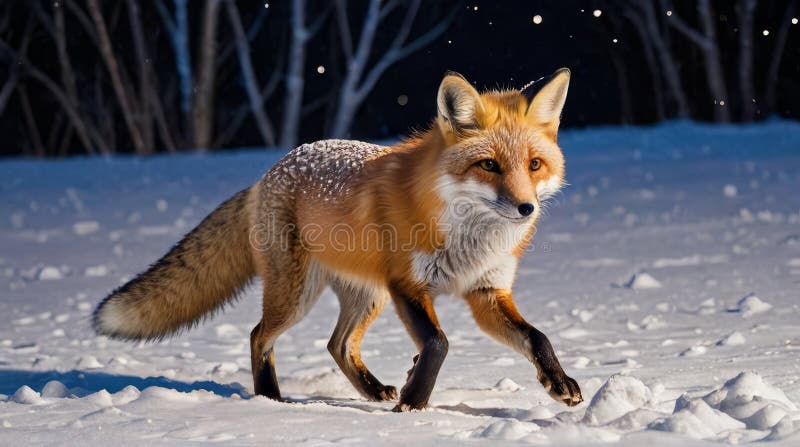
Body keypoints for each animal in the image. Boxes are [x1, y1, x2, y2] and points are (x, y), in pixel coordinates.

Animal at [93, 68, 582, 411]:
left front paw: (559, 383)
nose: (526, 209)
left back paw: (371, 390)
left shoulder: (486, 291)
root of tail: (269, 172)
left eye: (534, 164)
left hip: (368, 295)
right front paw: (414, 406)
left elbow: (537, 338)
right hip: (298, 295)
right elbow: (438, 343)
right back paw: (269, 401)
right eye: (488, 165)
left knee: (338, 344)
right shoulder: (408, 285)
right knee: (258, 336)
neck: (469, 239)